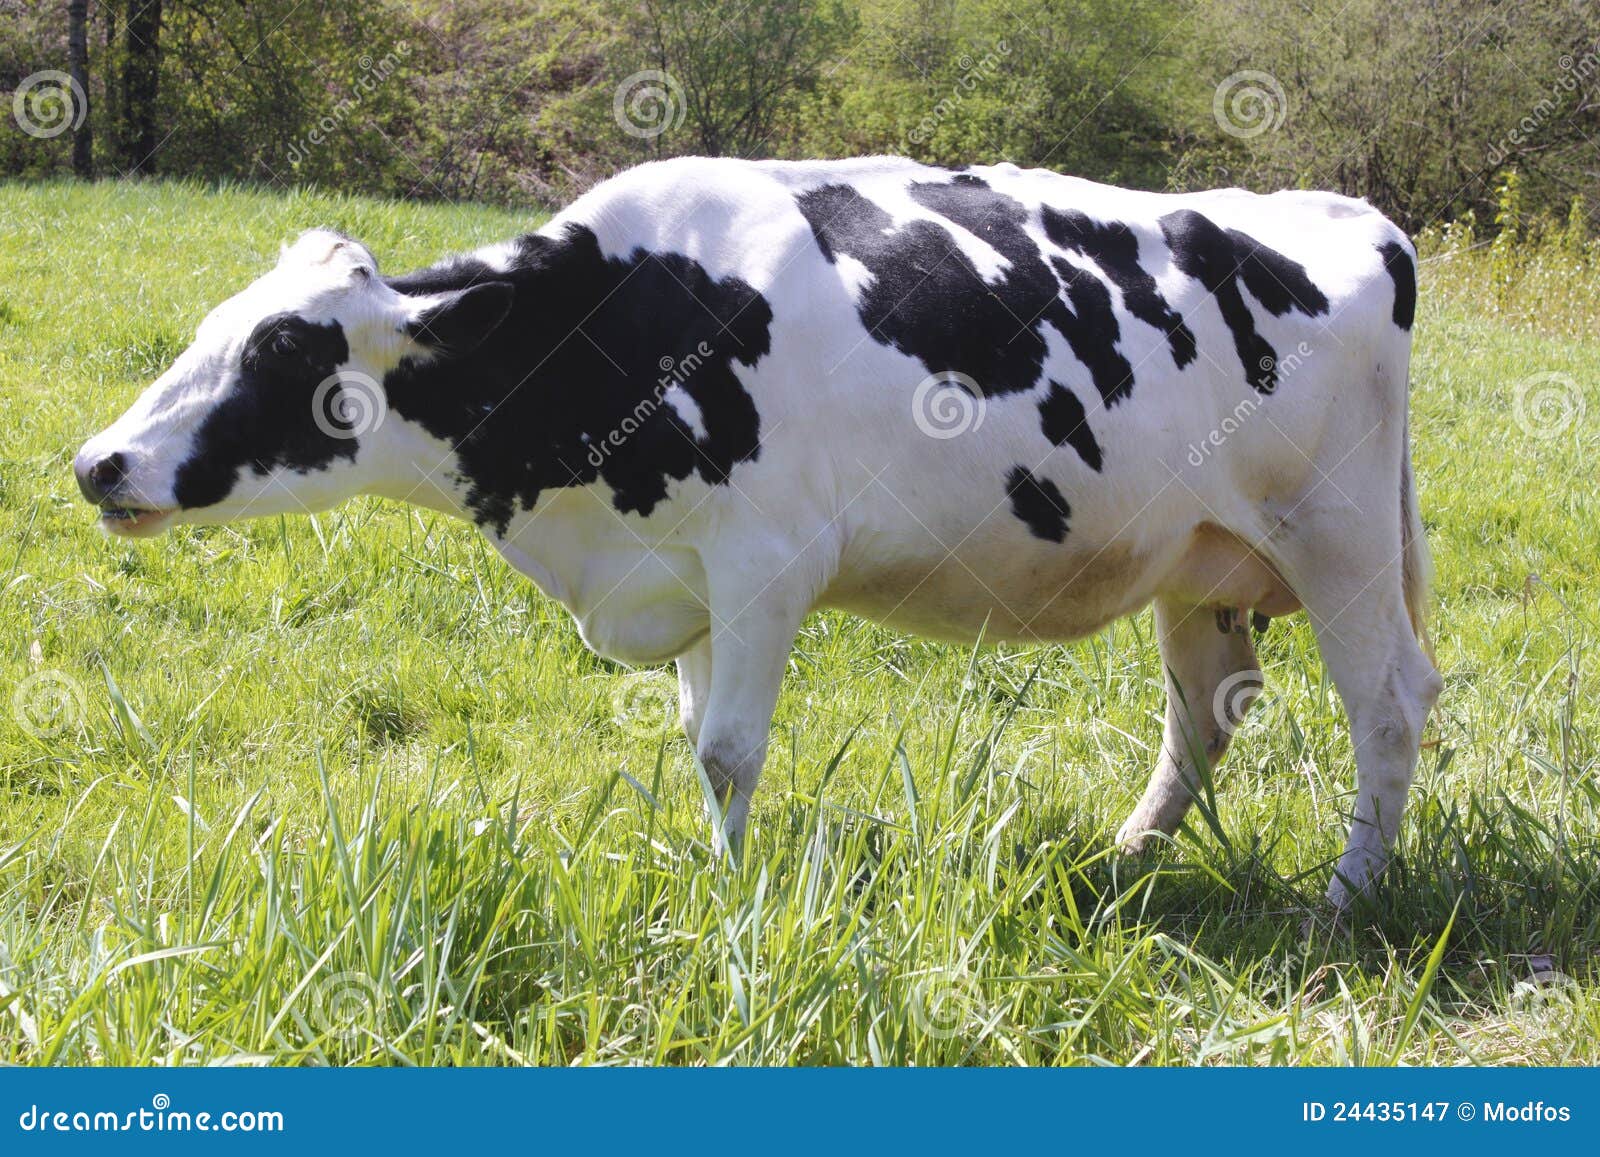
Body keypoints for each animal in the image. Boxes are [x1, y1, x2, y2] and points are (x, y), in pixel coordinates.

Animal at [73, 156, 1442, 909]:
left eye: (280, 348)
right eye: (215, 324)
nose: (99, 462)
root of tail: (1352, 216)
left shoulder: (763, 564)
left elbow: (730, 749)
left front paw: (733, 896)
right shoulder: (674, 576)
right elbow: (693, 739)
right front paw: (705, 866)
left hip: (1339, 535)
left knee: (1386, 704)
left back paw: (1343, 896)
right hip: (1200, 559)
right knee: (1204, 709)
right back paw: (1123, 854)